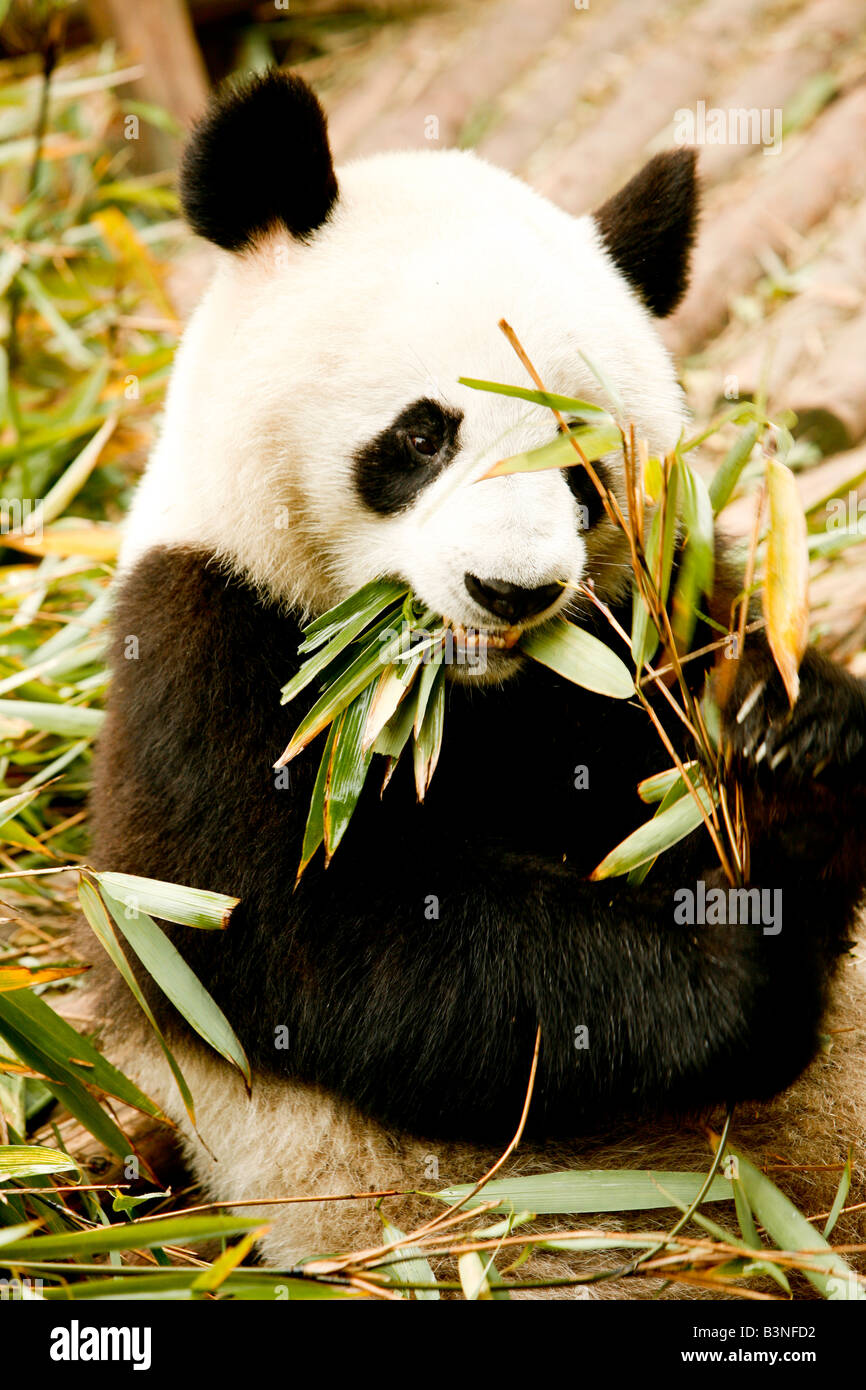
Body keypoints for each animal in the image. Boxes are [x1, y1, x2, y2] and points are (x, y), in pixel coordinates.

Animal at [86, 70, 866, 1294]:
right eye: (421, 436)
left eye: (585, 467)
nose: (511, 590)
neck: (464, 694)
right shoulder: (209, 651)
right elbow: (304, 937)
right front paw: (745, 949)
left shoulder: (633, 632)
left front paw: (795, 738)